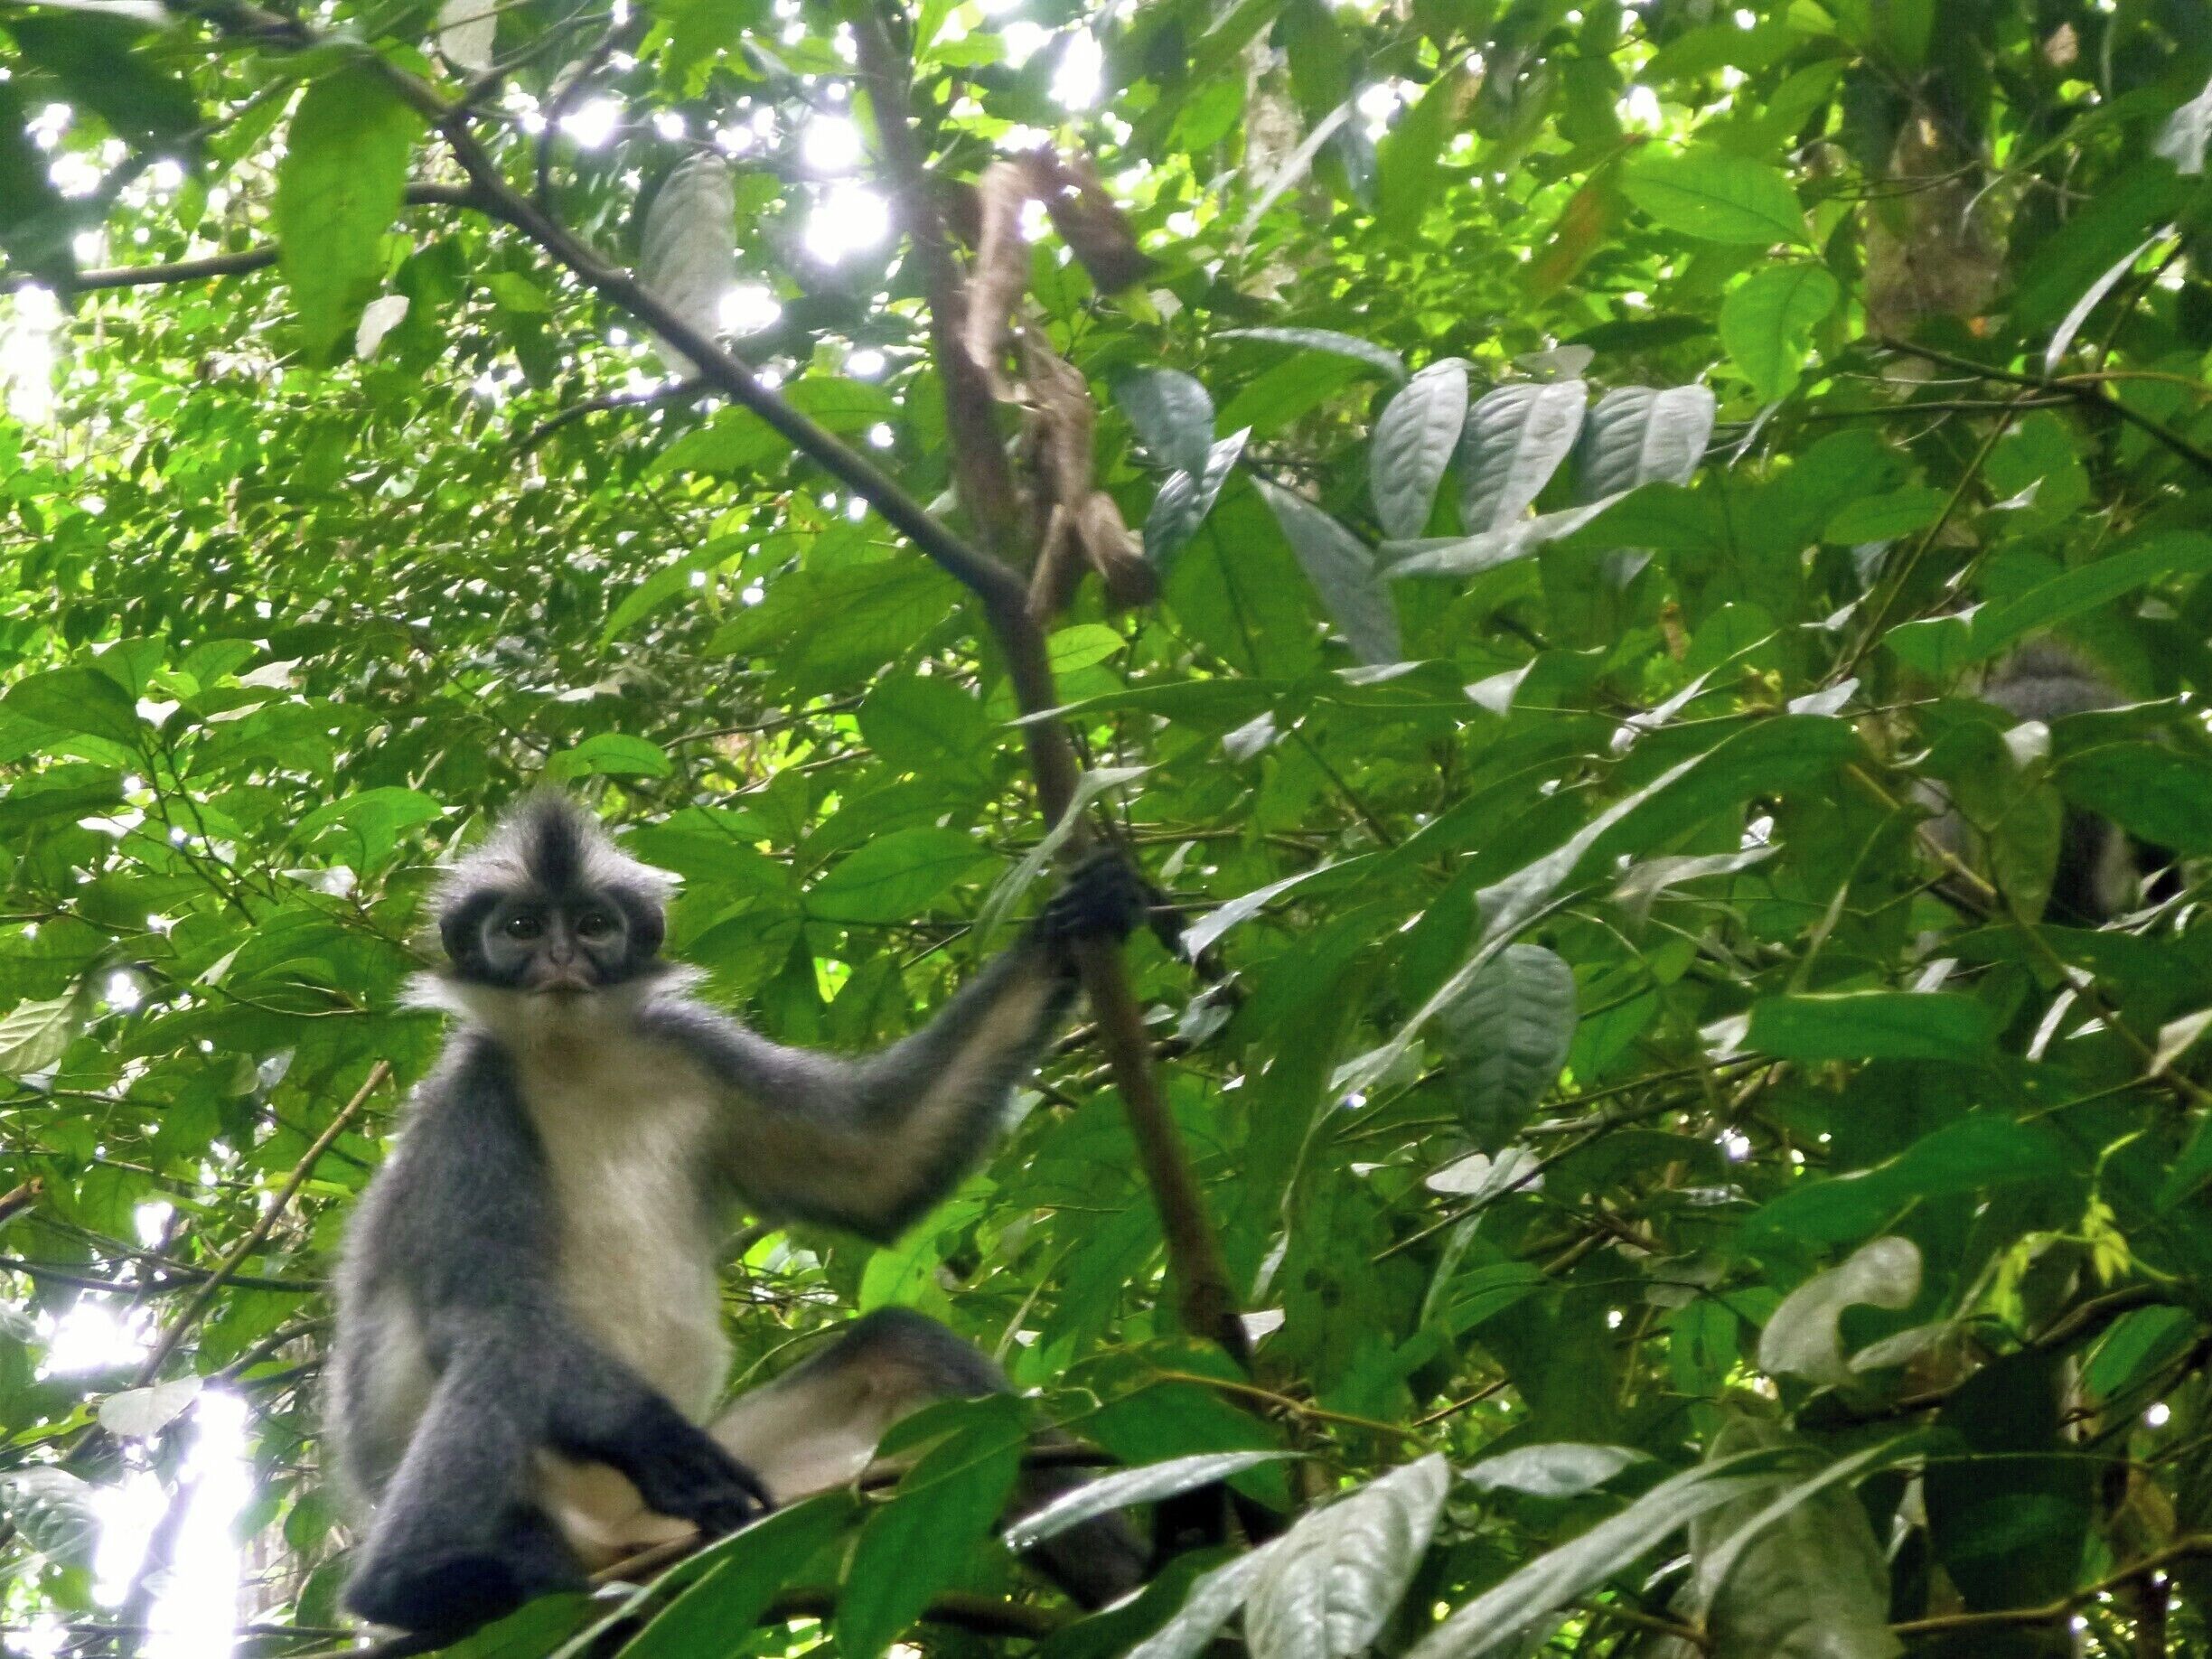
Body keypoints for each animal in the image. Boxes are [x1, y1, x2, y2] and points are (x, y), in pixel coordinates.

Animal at [329, 792, 1150, 1635]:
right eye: (521, 928)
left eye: (592, 925)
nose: (560, 960)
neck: (573, 1060)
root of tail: (612, 1545)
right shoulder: (471, 1106)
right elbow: (483, 1309)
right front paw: (659, 1444)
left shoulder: (692, 1053)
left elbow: (876, 1164)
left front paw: (1081, 914)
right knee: (506, 1343)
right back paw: (409, 1582)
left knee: (908, 1354)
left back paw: (1155, 1580)